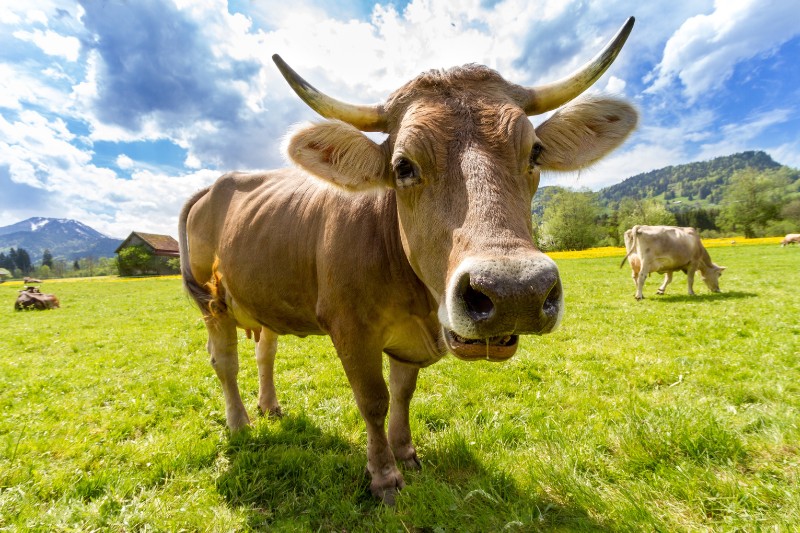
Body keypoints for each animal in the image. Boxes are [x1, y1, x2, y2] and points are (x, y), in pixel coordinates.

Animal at [180, 18, 638, 503]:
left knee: (265, 350)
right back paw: (240, 423)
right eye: (403, 166)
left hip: (263, 295)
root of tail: (217, 184)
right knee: (225, 362)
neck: (417, 301)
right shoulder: (350, 329)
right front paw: (384, 475)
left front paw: (407, 454)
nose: (515, 292)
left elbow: (403, 394)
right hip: (212, 302)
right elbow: (373, 400)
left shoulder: (407, 341)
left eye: (535, 152)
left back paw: (269, 407)